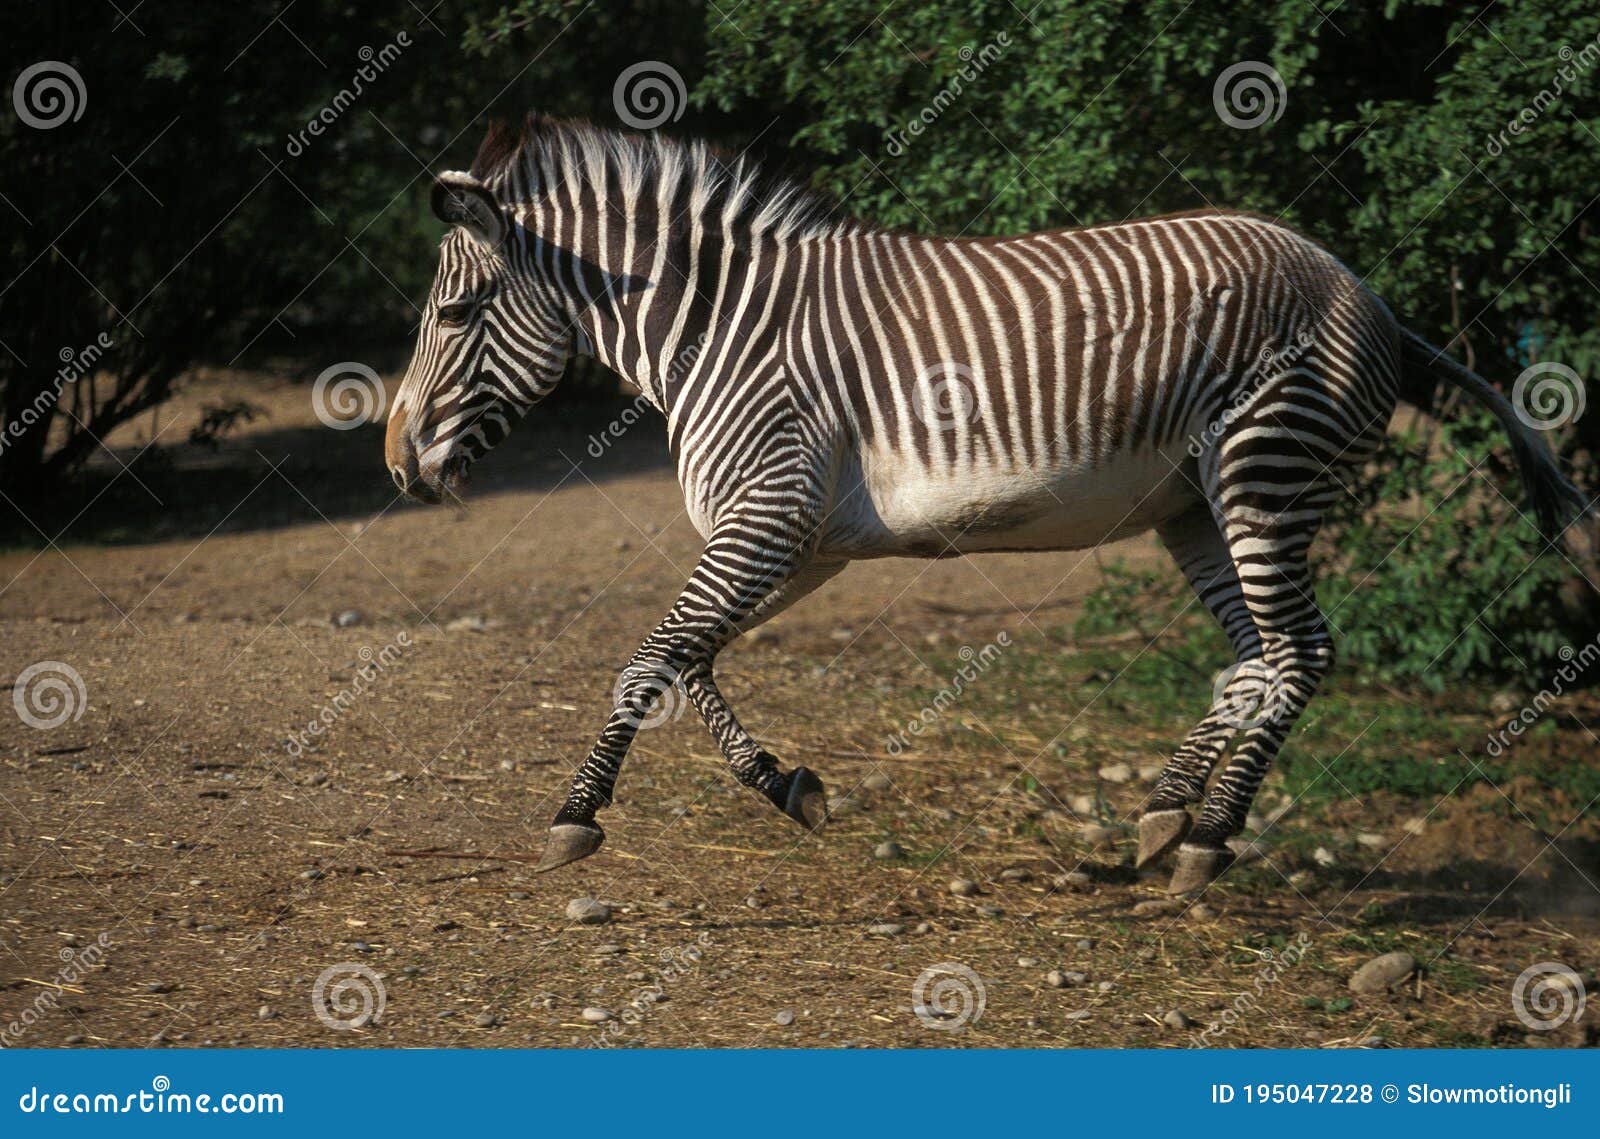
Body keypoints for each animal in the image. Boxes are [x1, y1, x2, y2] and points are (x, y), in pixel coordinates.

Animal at [384, 115, 1586, 894]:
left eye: (453, 312)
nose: (395, 462)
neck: (717, 329)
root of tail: (1362, 287)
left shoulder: (768, 511)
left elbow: (649, 656)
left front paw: (575, 815)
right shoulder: (801, 539)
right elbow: (690, 659)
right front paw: (790, 787)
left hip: (1263, 468)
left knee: (1301, 652)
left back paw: (1208, 837)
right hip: (1193, 503)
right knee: (1254, 658)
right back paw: (1164, 812)